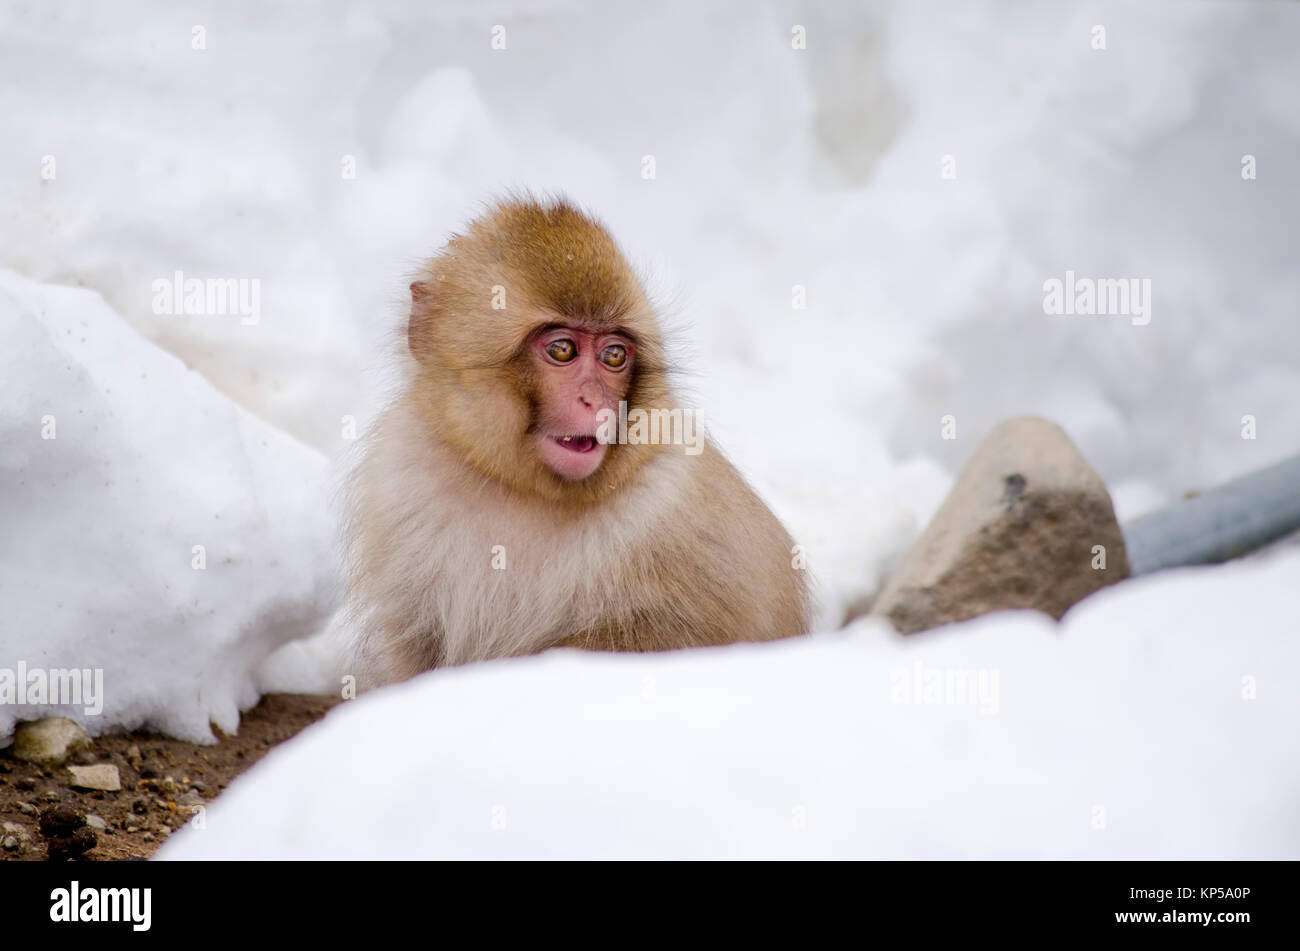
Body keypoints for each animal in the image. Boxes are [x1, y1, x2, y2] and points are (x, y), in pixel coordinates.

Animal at [346, 195, 809, 682]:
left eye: (614, 356)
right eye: (563, 349)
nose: (597, 402)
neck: (528, 490)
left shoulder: (673, 504)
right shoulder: (401, 476)